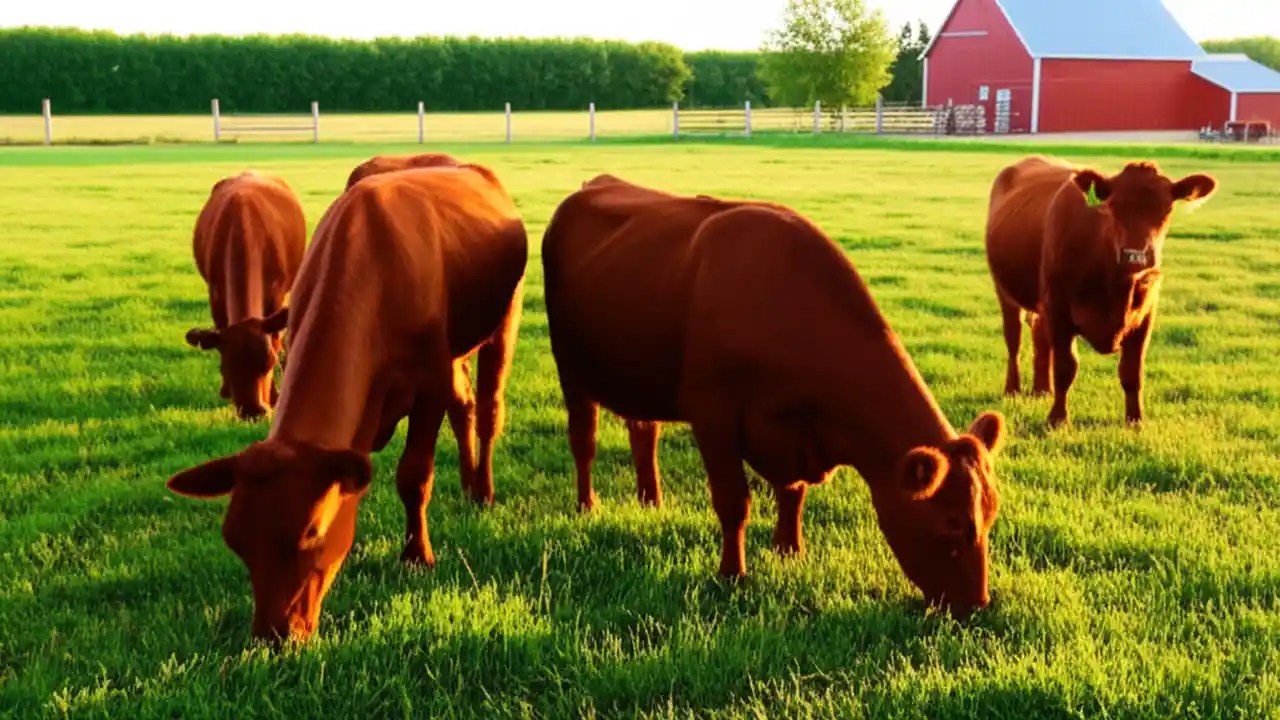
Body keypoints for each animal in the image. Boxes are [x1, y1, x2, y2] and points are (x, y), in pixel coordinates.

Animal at [186, 171, 306, 420]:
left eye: (269, 363)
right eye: (225, 367)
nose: (253, 411)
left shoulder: (275, 297)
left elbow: (275, 338)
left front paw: (274, 397)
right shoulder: (216, 294)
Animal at [541, 175, 1009, 618]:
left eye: (990, 517)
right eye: (953, 524)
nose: (976, 605)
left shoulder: (794, 431)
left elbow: (793, 491)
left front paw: (789, 551)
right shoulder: (714, 415)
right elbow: (733, 501)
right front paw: (732, 574)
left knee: (644, 431)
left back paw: (651, 501)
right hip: (571, 369)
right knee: (583, 441)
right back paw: (587, 505)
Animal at [984, 156, 1218, 427]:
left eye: (1167, 209)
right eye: (1112, 207)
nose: (1135, 256)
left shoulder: (1145, 316)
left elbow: (1132, 371)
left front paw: (1135, 421)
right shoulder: (1059, 310)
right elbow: (1066, 367)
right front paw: (1057, 419)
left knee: (1040, 337)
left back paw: (1042, 390)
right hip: (1006, 292)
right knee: (1014, 340)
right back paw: (1013, 389)